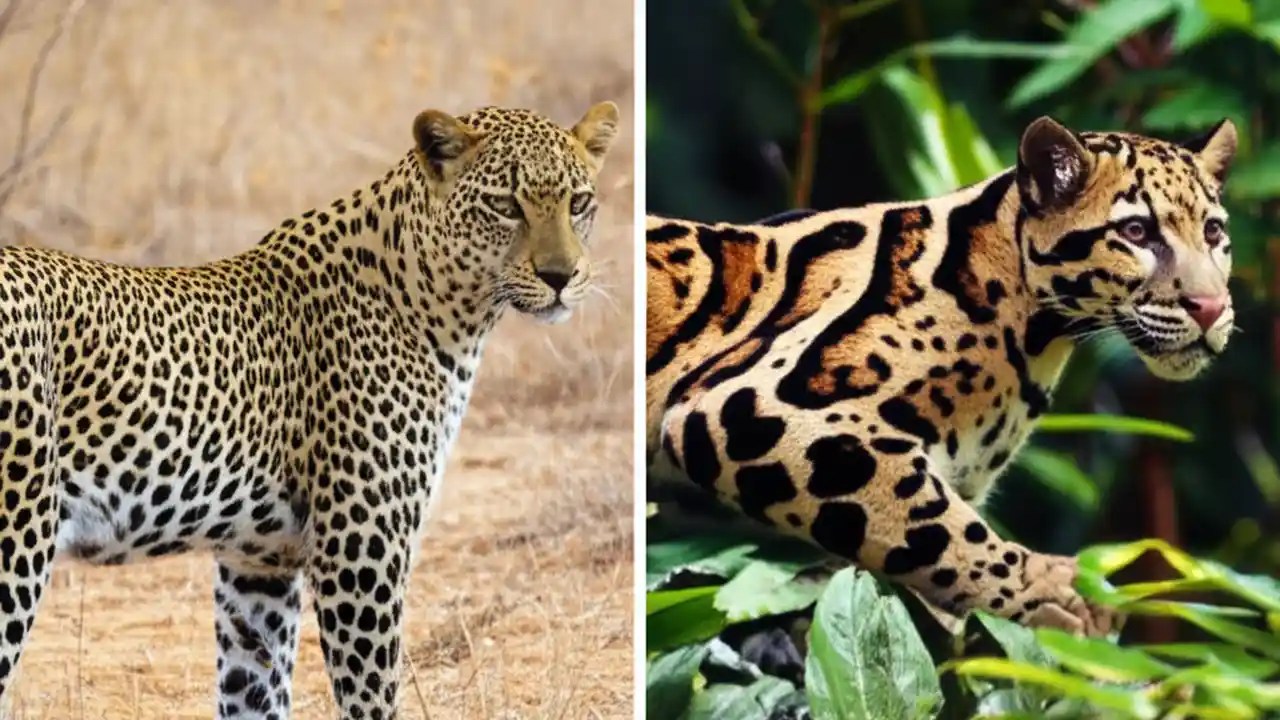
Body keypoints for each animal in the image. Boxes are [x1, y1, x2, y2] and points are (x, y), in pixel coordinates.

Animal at [0, 100, 619, 719]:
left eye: (578, 202)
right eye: (505, 205)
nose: (562, 277)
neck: (449, 309)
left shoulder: (260, 564)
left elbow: (255, 691)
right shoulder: (361, 547)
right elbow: (371, 698)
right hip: (18, 536)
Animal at [647, 116, 1236, 636]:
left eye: (1213, 233)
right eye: (1135, 231)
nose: (1211, 307)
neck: (1035, 334)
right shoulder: (755, 404)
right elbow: (936, 523)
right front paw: (1050, 592)